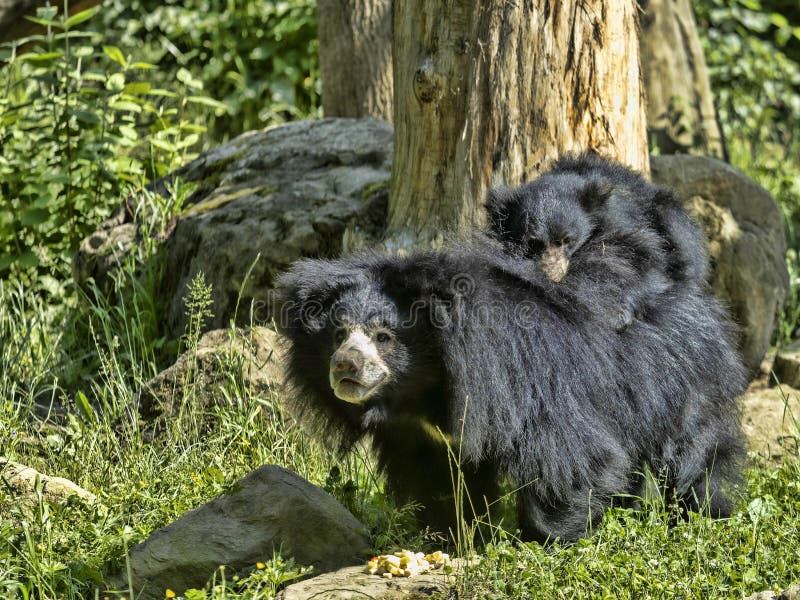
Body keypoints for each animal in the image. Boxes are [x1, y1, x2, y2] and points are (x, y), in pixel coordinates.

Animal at [274, 241, 745, 543]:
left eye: (384, 337)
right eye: (339, 334)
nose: (346, 367)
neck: (424, 390)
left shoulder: (525, 386)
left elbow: (570, 461)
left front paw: (546, 544)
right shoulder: (422, 435)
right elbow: (440, 480)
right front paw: (452, 537)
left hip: (682, 386)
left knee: (695, 456)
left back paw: (702, 517)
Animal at [485, 153, 708, 330]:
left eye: (567, 240)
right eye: (533, 244)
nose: (551, 274)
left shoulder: (630, 226)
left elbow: (654, 268)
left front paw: (618, 314)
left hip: (669, 216)